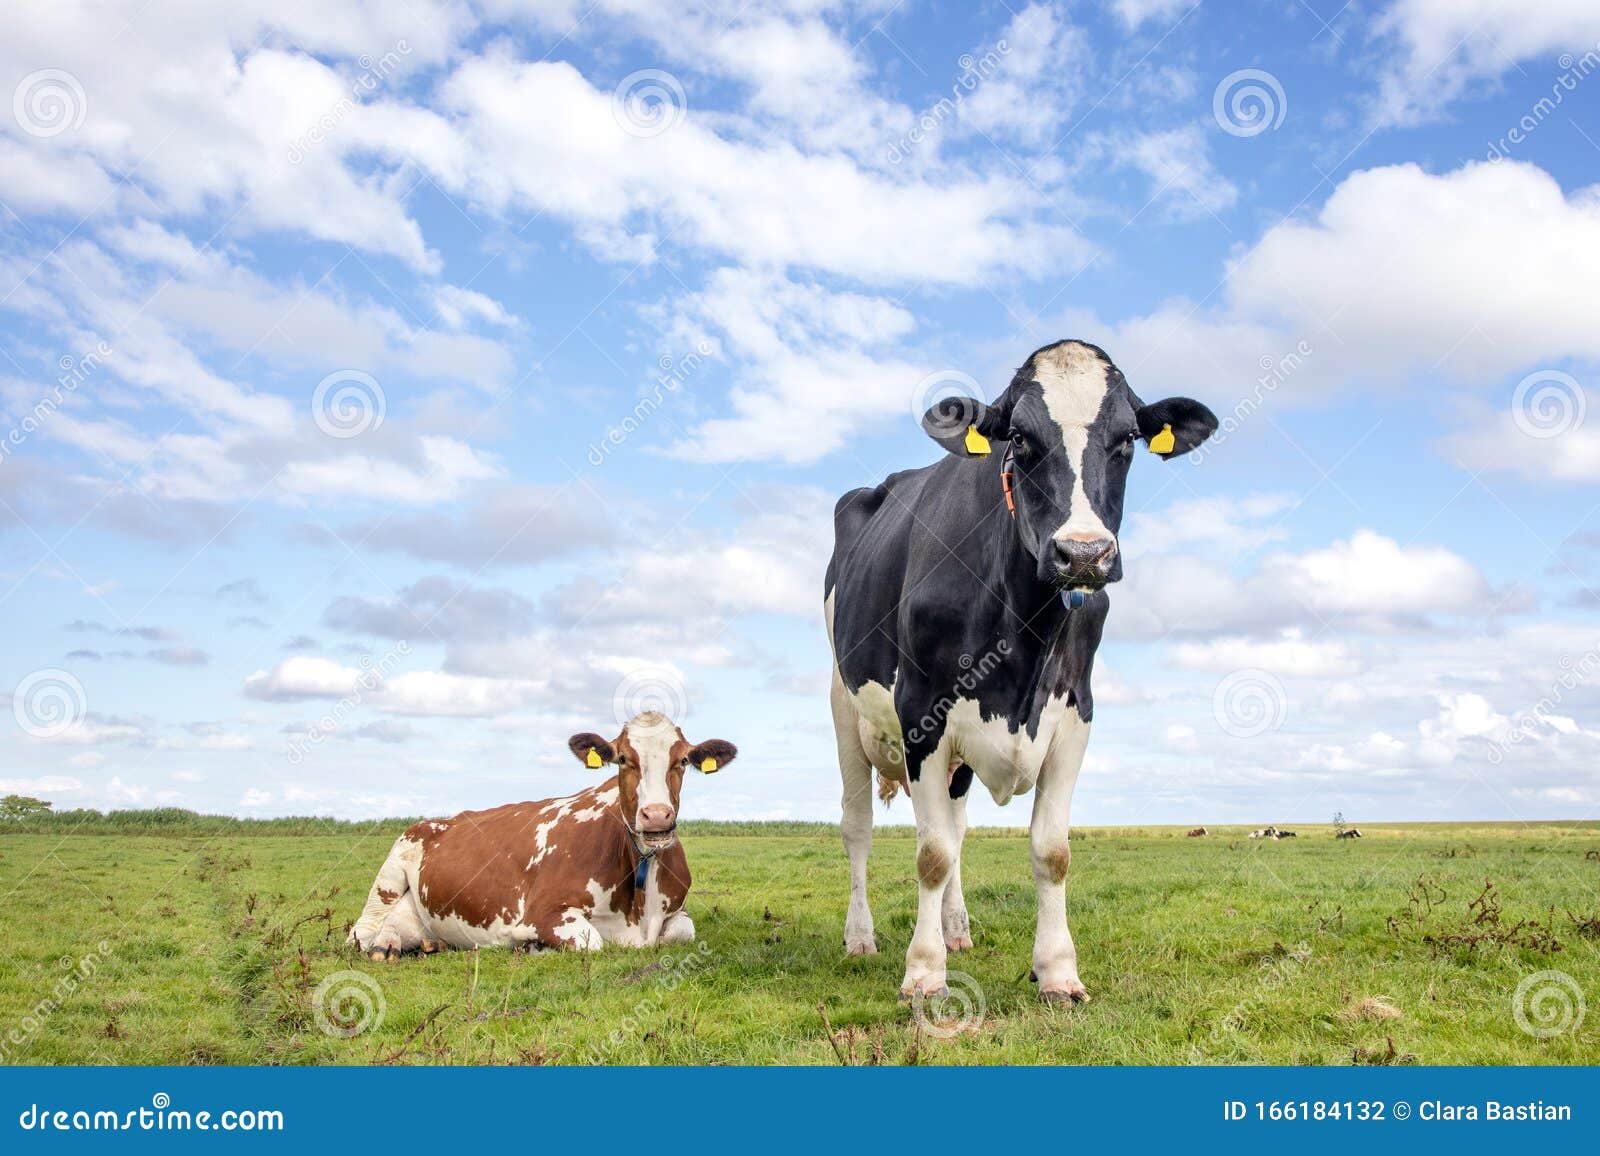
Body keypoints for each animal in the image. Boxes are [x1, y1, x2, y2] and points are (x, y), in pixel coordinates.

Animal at [347, 711, 736, 957]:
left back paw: (418, 944)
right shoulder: (543, 912)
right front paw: (531, 945)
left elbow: (684, 934)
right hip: (394, 864)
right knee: (362, 931)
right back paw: (380, 945)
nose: (656, 816)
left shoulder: (677, 912)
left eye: (682, 760)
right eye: (624, 759)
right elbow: (591, 941)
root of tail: (442, 819)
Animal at [825, 339, 1217, 1003]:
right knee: (859, 827)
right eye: (1020, 439)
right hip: (843, 705)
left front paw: (1057, 971)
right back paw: (859, 938)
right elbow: (930, 853)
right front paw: (923, 972)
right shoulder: (922, 713)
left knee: (956, 825)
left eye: (1127, 440)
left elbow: (1049, 850)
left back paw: (956, 929)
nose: (1083, 554)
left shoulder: (1076, 712)